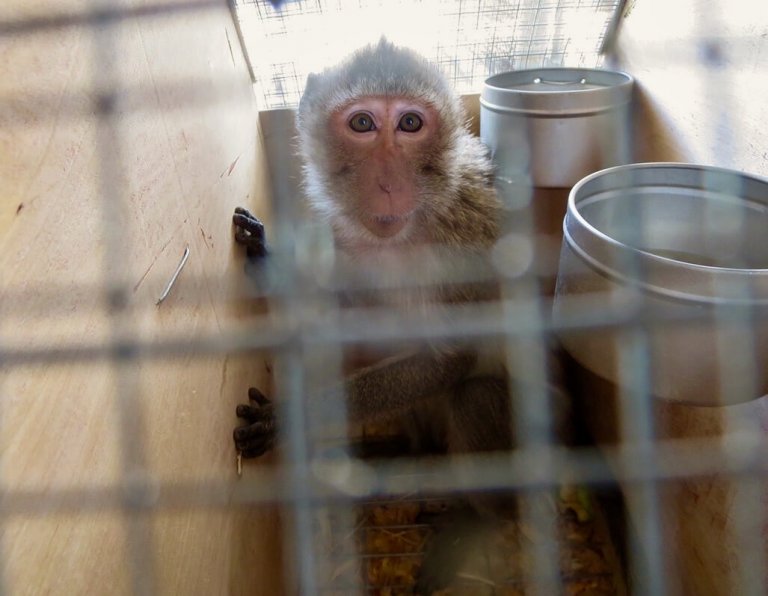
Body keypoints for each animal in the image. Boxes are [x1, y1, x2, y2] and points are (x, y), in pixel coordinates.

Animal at [232, 38, 567, 592]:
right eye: (362, 124)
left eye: (410, 124)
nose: (389, 182)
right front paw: (269, 258)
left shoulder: (462, 242)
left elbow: (448, 360)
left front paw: (291, 417)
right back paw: (409, 450)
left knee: (474, 396)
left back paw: (476, 519)